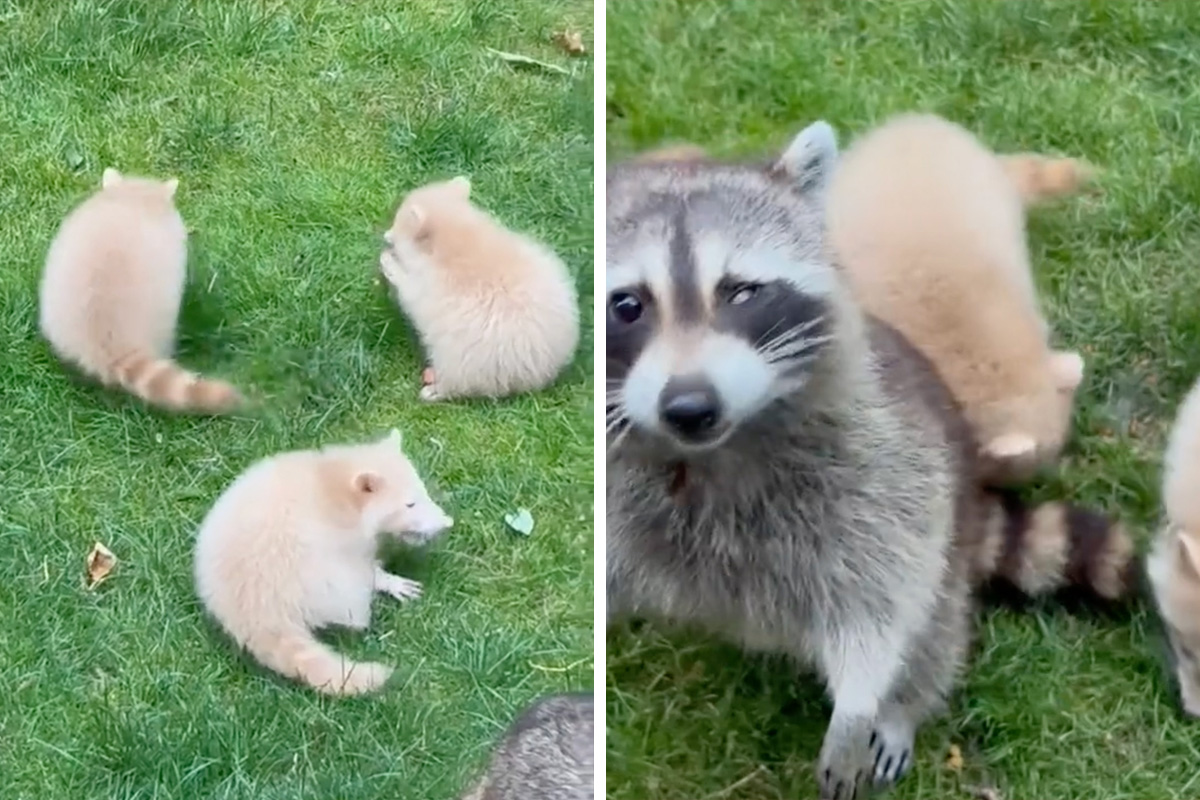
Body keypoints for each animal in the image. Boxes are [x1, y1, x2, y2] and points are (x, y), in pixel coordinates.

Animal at [605, 121, 1136, 799]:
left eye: (742, 293)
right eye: (628, 305)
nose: (690, 406)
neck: (715, 451)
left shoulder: (885, 471)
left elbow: (882, 605)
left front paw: (864, 705)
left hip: (942, 521)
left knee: (934, 628)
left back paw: (903, 706)